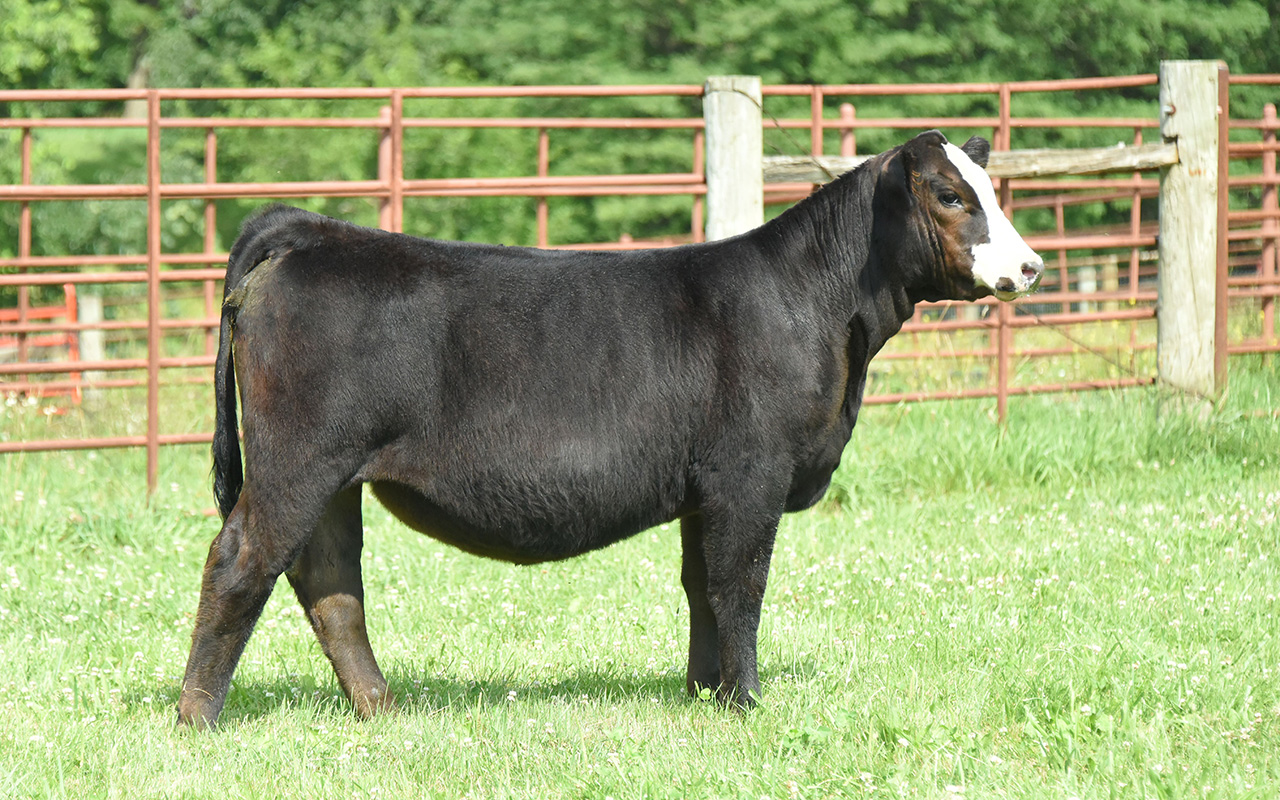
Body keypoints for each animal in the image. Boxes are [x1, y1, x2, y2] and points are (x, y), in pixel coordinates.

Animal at [177, 130, 1042, 728]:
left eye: (990, 190)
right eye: (950, 196)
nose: (1031, 266)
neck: (825, 313)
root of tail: (314, 230)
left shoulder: (703, 488)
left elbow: (701, 586)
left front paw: (703, 694)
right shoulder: (749, 475)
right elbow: (740, 585)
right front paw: (746, 703)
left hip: (333, 477)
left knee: (329, 582)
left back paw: (382, 708)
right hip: (298, 461)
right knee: (241, 562)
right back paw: (197, 718)